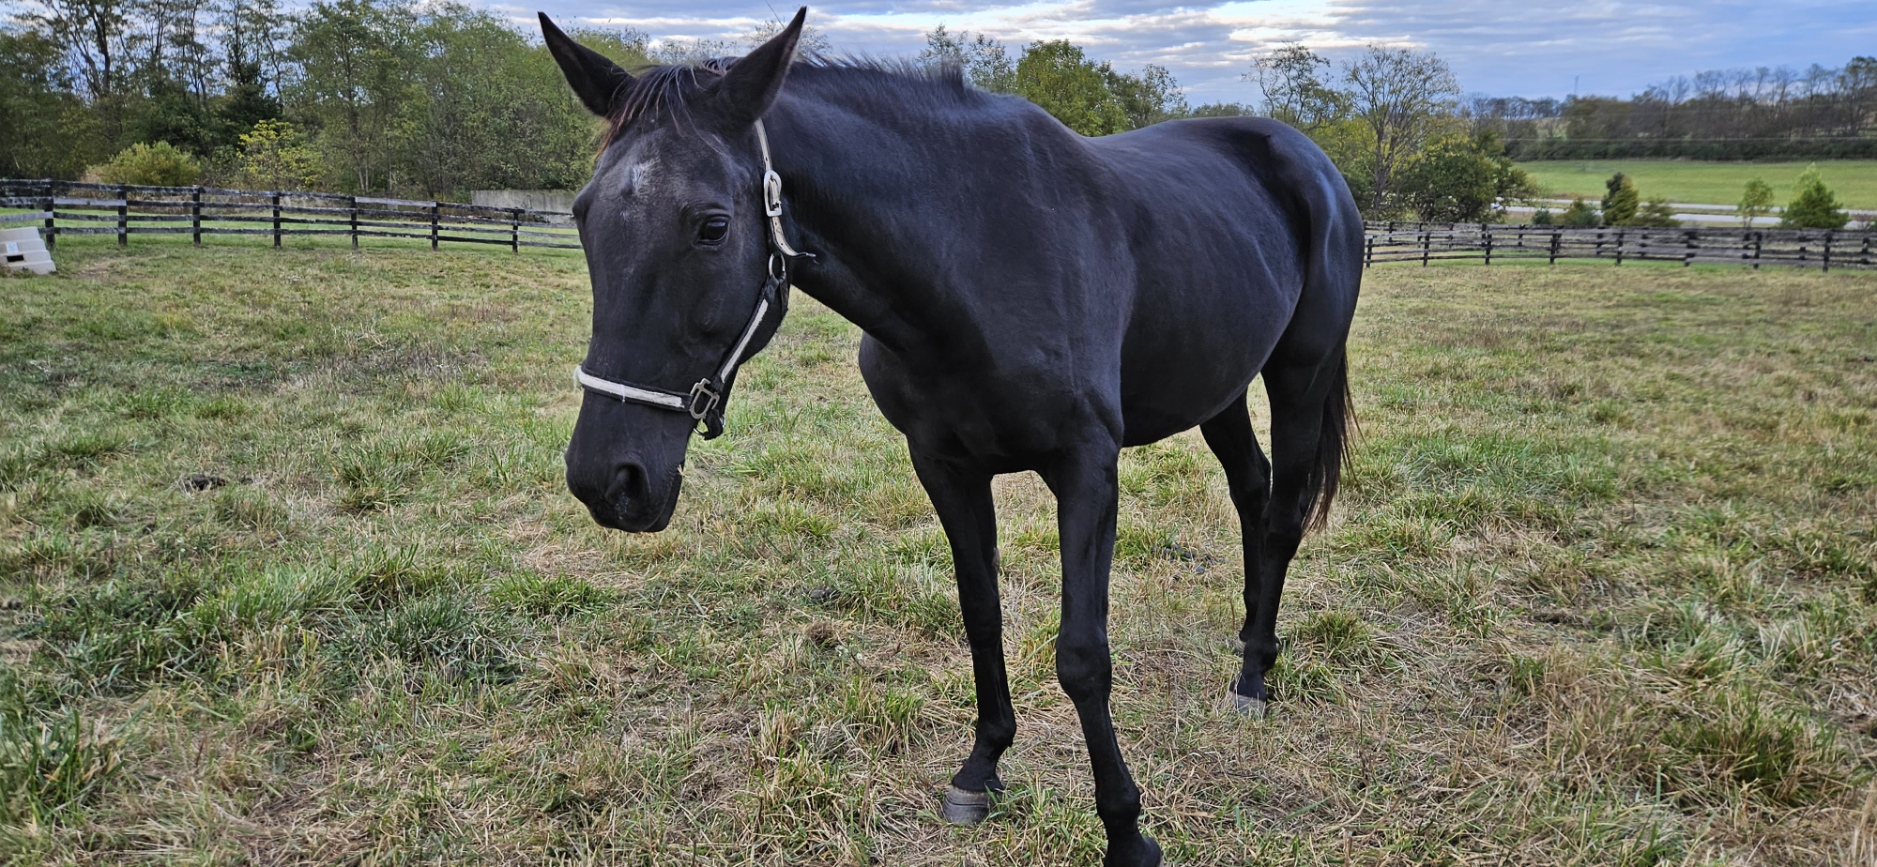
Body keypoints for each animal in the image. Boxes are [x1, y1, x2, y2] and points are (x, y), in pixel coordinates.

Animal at [543, 10, 1360, 865]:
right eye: (584, 215)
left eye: (712, 226)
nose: (607, 479)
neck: (976, 251)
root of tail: (1306, 159)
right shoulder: (944, 466)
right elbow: (981, 612)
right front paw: (982, 765)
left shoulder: (1086, 467)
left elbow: (1082, 654)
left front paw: (1127, 829)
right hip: (1218, 384)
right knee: (1251, 492)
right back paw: (1247, 652)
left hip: (1298, 375)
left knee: (1280, 514)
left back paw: (1254, 678)